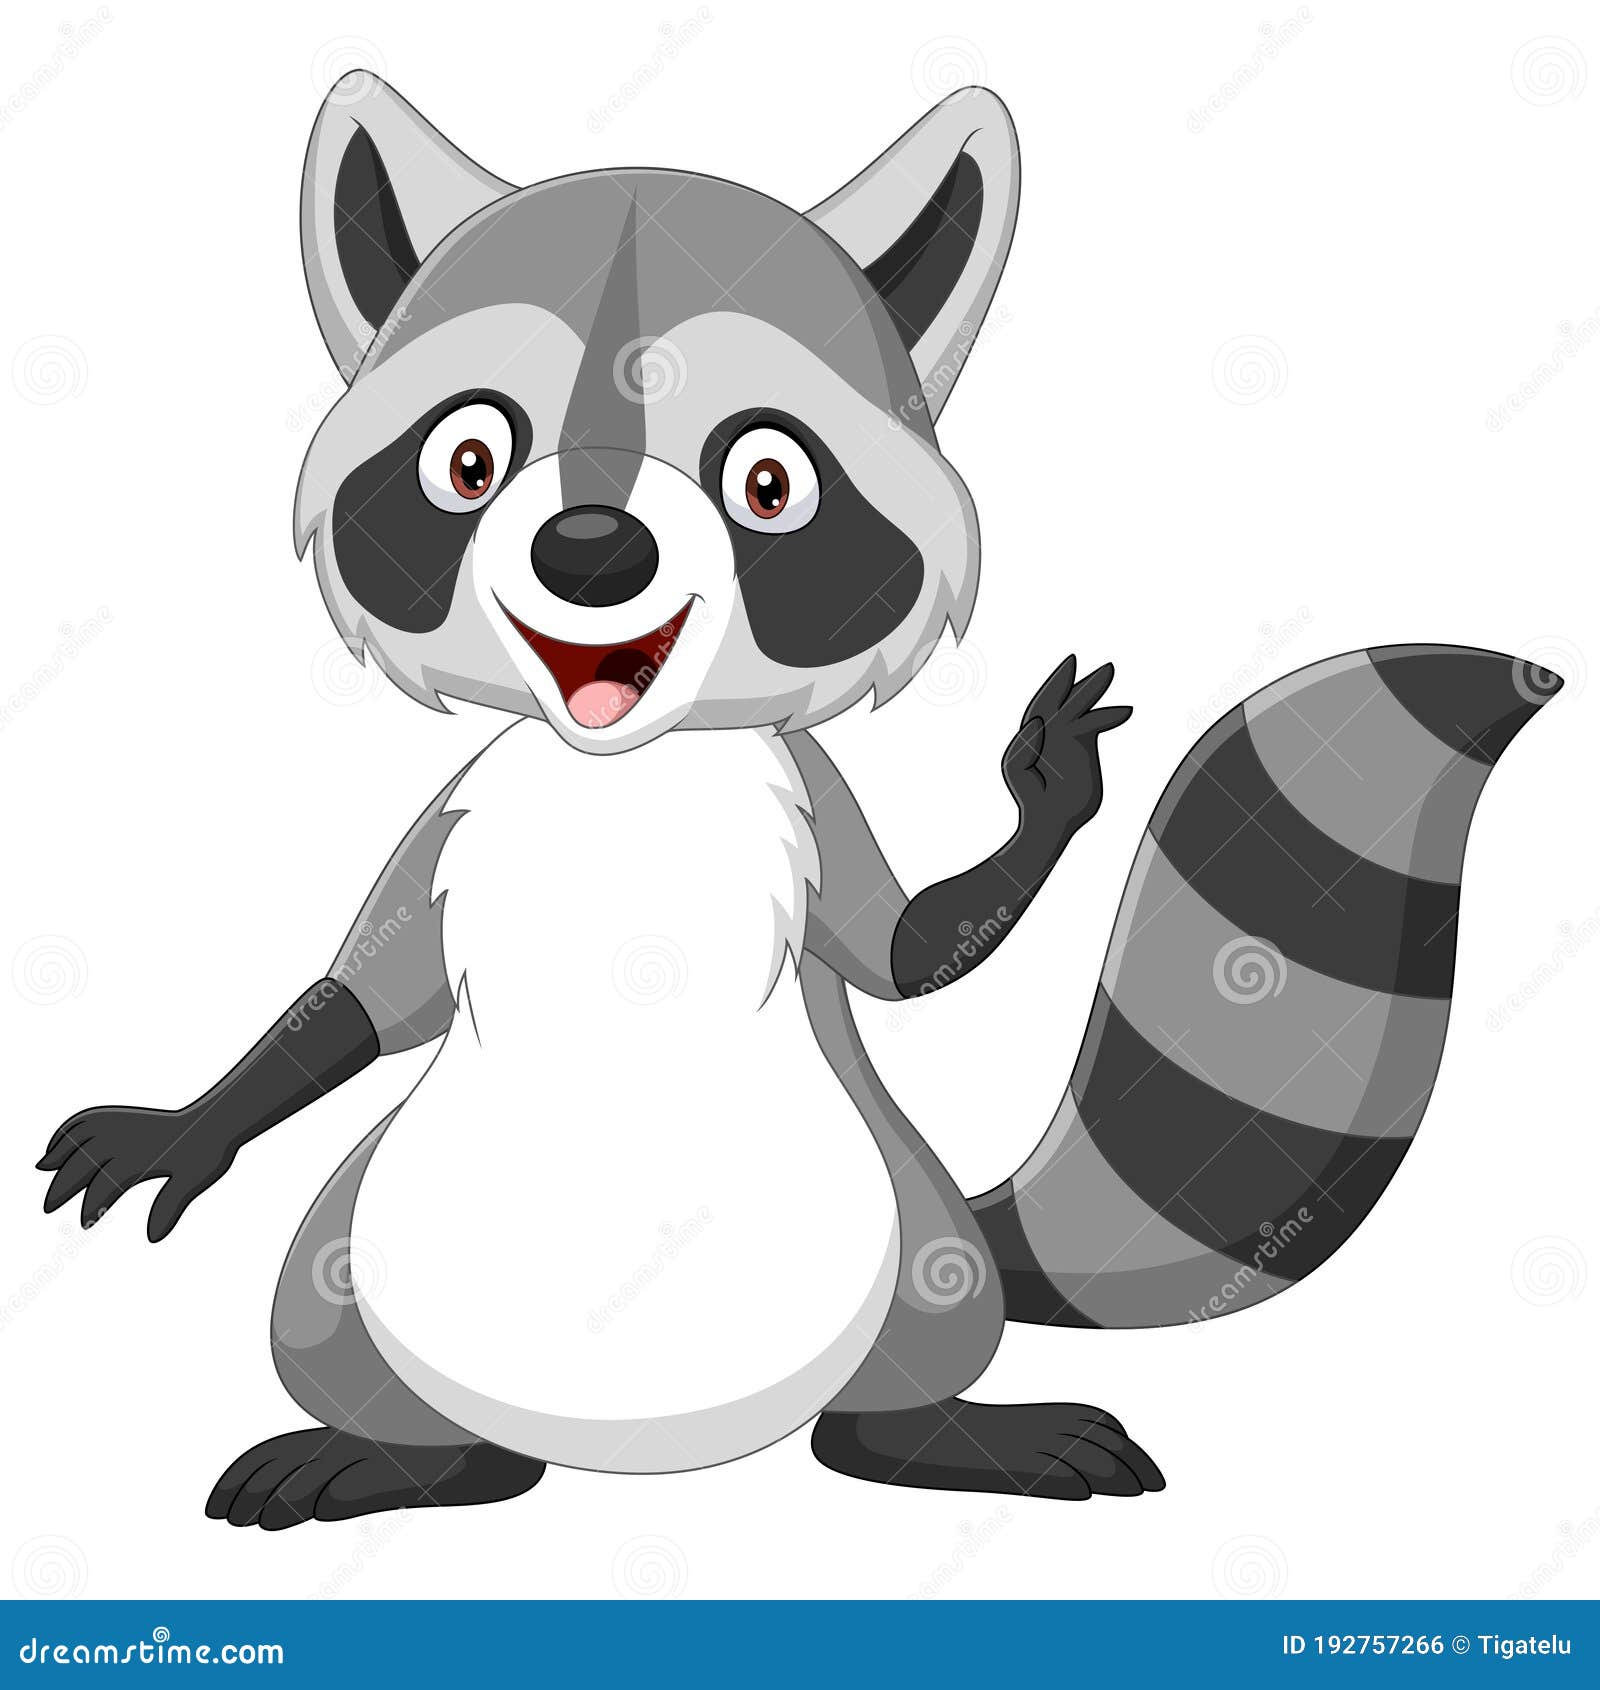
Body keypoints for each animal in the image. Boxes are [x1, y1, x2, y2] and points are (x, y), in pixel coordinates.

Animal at [39, 75, 1560, 1529]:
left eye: (768, 481)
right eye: (468, 461)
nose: (591, 547)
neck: (630, 765)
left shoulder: (814, 806)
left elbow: (911, 952)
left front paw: (1045, 793)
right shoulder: (458, 814)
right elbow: (354, 998)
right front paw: (190, 1122)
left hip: (917, 1253)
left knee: (877, 1403)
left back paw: (941, 1431)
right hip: (349, 1264)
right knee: (395, 1374)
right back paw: (403, 1456)